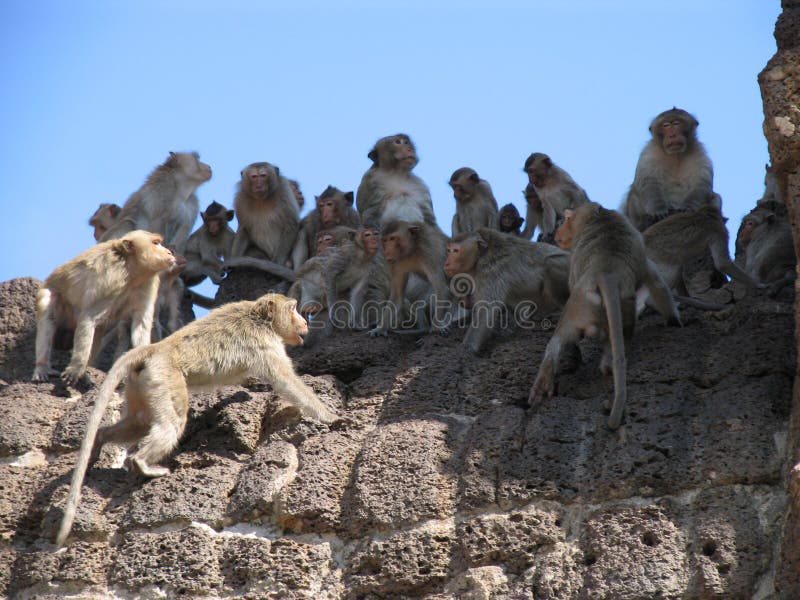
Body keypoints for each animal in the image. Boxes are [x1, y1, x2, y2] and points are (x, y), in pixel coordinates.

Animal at [32, 230, 178, 385]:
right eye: (155, 243)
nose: (169, 252)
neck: (131, 271)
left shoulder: (148, 283)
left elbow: (140, 325)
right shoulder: (110, 278)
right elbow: (89, 318)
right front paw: (75, 368)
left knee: (98, 330)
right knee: (49, 312)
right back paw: (42, 367)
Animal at [54, 293, 341, 546]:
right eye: (293, 309)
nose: (304, 322)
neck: (259, 317)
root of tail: (156, 348)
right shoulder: (264, 344)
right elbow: (287, 382)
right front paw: (331, 416)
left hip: (140, 382)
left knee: (141, 422)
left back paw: (100, 441)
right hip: (164, 377)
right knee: (171, 423)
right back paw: (142, 463)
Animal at [529, 202, 681, 430]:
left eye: (565, 220)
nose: (557, 232)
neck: (597, 215)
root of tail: (604, 272)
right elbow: (657, 282)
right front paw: (675, 321)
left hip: (581, 304)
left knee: (561, 338)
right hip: (600, 306)